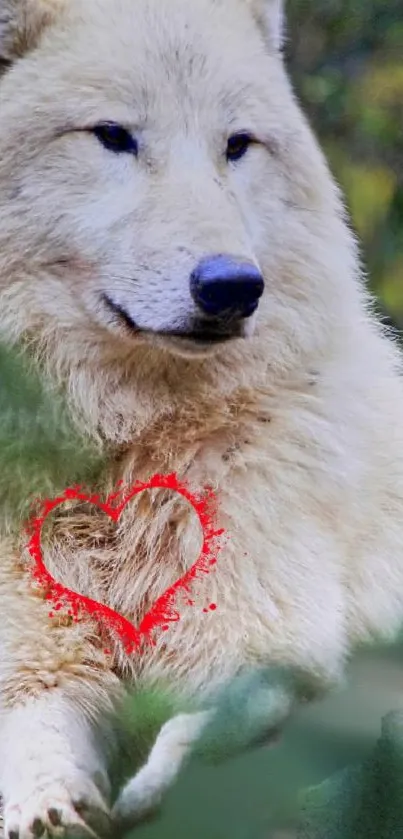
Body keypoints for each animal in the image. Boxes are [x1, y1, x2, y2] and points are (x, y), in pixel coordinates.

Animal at [1, 0, 403, 836]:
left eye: (236, 145)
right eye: (113, 135)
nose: (230, 285)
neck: (125, 445)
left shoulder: (272, 654)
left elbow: (202, 729)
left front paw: (146, 794)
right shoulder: (36, 659)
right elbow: (37, 731)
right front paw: (50, 804)